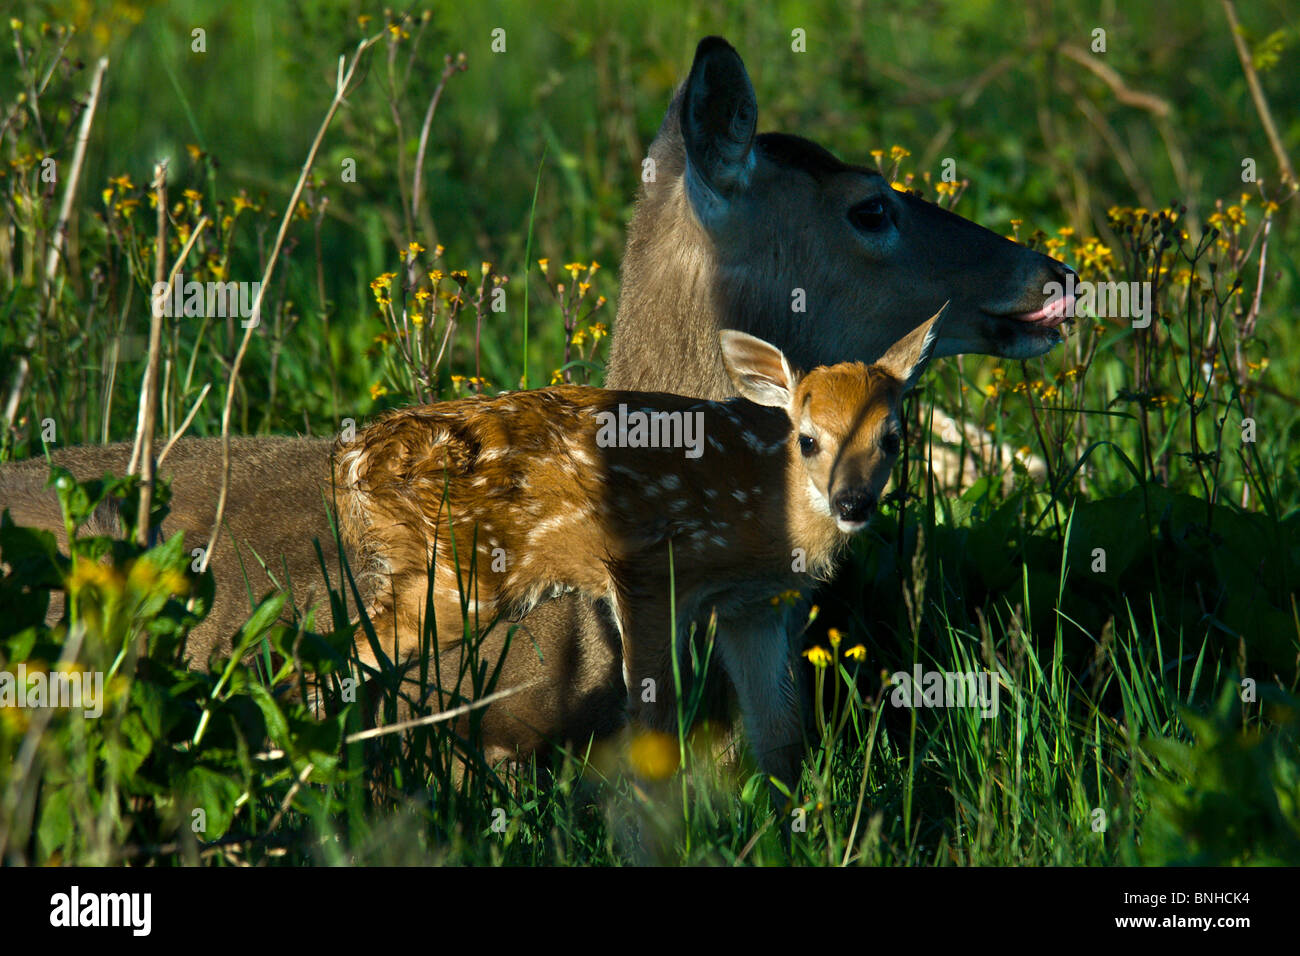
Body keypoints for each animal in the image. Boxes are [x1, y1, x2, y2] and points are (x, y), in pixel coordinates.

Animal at [336, 309, 945, 788]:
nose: (852, 503)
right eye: (809, 439)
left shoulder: (753, 606)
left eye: (892, 439)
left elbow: (778, 731)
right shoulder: (649, 572)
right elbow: (655, 717)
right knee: (348, 653)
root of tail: (356, 462)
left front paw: (783, 820)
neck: (767, 512)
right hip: (454, 579)